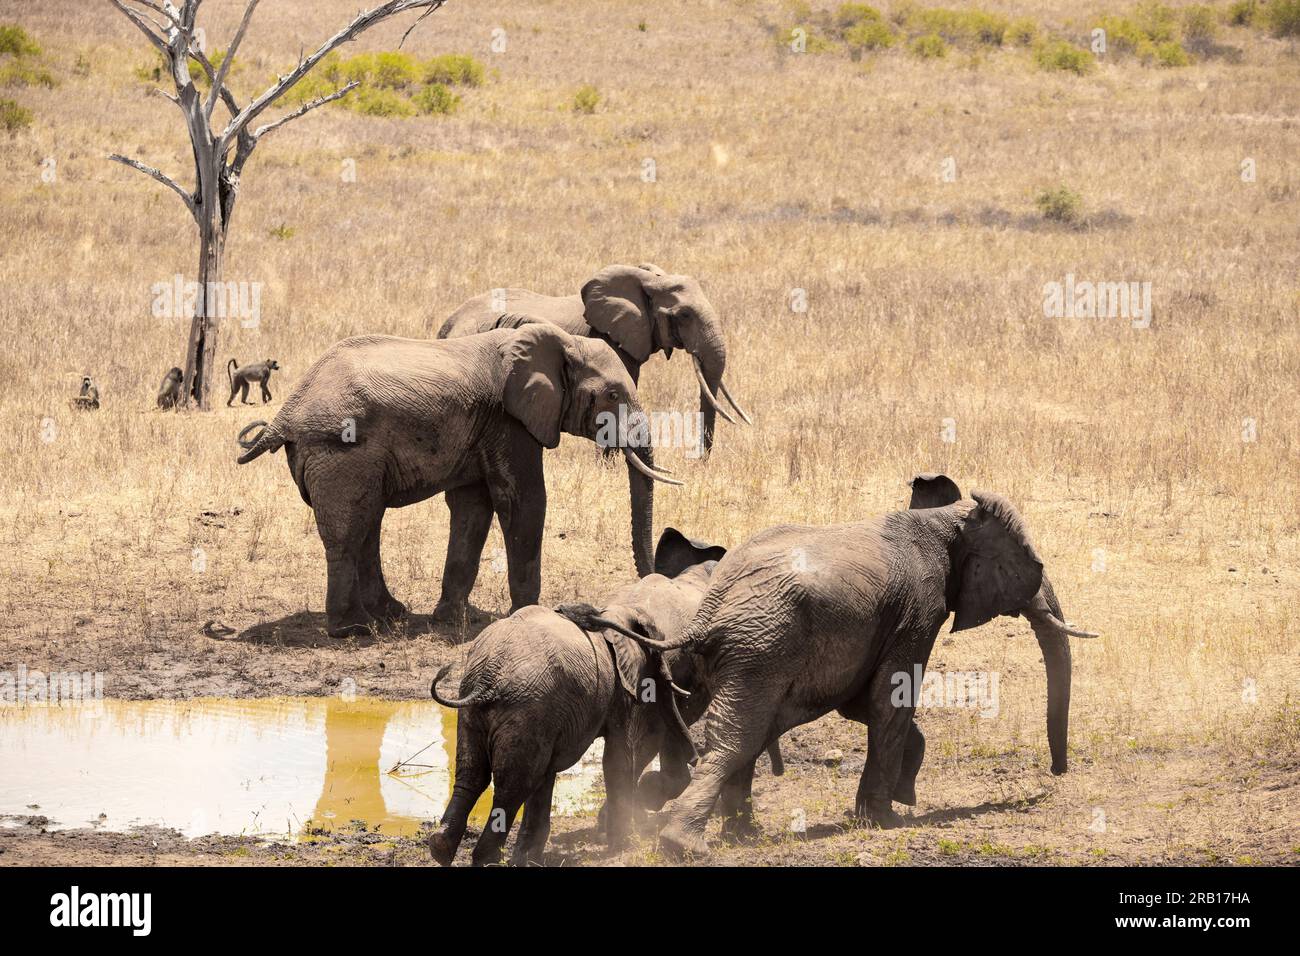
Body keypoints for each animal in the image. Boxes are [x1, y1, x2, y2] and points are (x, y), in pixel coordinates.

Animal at [234, 324, 681, 638]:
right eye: (612, 396)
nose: (654, 581)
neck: (564, 342)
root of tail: (285, 415)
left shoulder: (485, 427)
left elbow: (472, 508)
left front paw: (452, 618)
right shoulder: (509, 420)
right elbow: (523, 500)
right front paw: (527, 615)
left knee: (367, 523)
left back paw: (390, 615)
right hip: (340, 452)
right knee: (349, 530)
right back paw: (355, 630)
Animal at [426, 527, 727, 866]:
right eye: (658, 652)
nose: (696, 759)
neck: (613, 612)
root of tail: (488, 677)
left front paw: (529, 858)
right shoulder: (617, 688)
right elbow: (618, 756)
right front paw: (623, 846)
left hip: (486, 713)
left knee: (473, 774)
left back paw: (440, 847)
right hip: (524, 709)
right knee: (512, 786)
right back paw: (485, 858)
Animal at [635, 475, 1097, 858]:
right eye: (1029, 568)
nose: (1057, 771)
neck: (945, 519)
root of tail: (709, 610)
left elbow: (862, 702)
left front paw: (895, 802)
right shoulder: (918, 608)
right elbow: (890, 698)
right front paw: (887, 820)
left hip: (746, 654)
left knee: (750, 732)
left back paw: (744, 835)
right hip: (761, 648)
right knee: (738, 737)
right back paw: (685, 846)